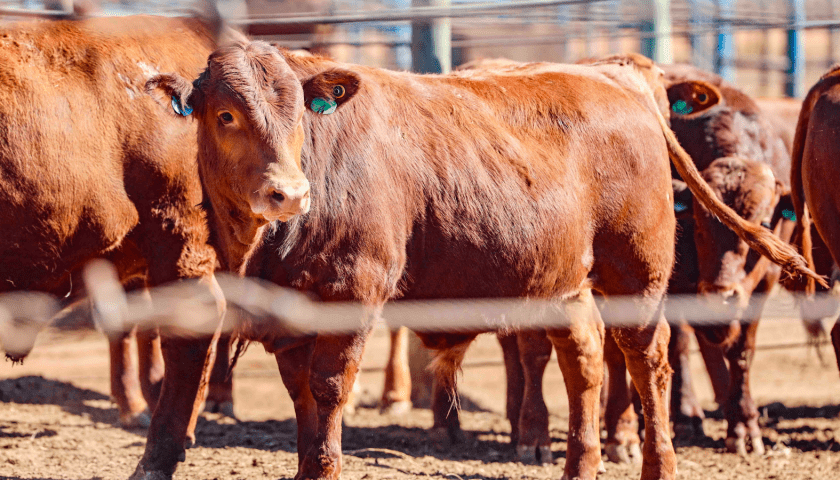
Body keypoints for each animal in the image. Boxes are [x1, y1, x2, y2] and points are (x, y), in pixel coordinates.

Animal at [144, 42, 817, 480]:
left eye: (298, 117)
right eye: (225, 114)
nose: (288, 193)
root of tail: (616, 79)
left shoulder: (353, 293)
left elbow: (330, 391)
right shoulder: (291, 321)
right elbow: (303, 400)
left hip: (637, 273)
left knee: (647, 362)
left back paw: (657, 464)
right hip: (564, 281)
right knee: (584, 358)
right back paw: (579, 464)